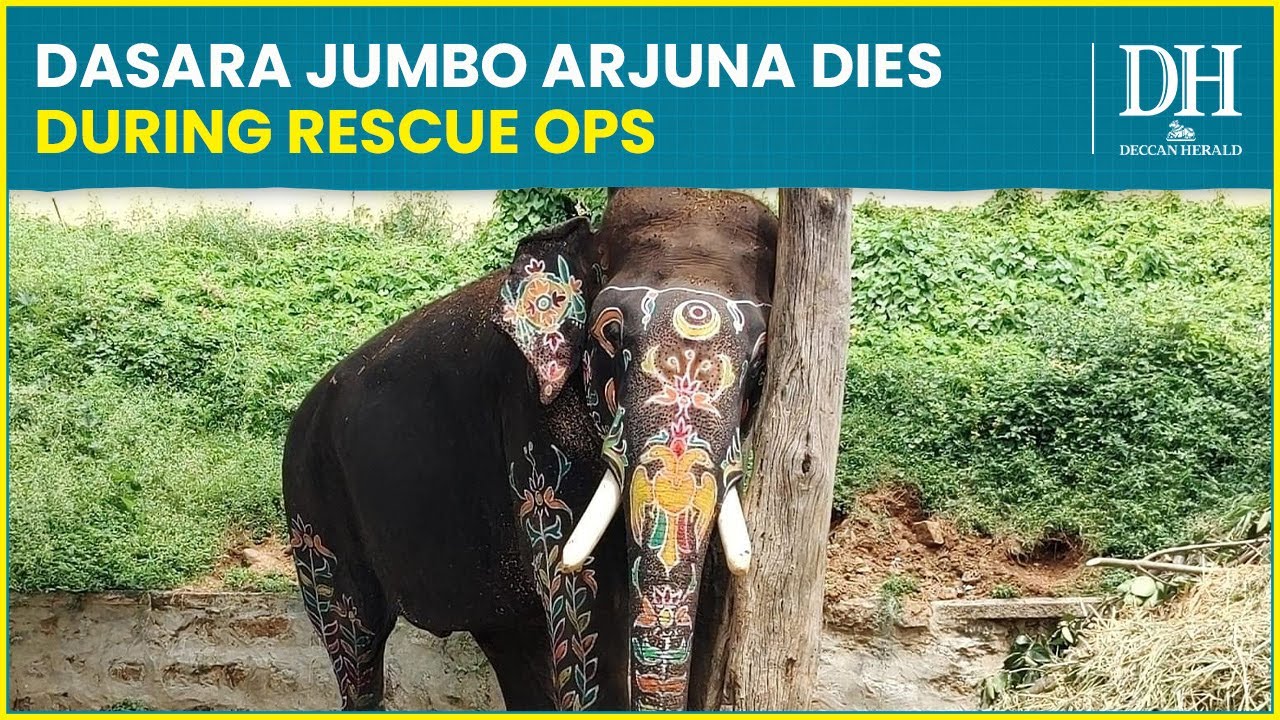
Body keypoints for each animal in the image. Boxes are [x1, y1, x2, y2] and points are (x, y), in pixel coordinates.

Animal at [281, 187, 777, 711]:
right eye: (610, 336)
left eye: (760, 363)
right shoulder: (534, 426)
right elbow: (580, 593)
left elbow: (714, 594)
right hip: (311, 501)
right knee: (353, 635)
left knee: (511, 640)